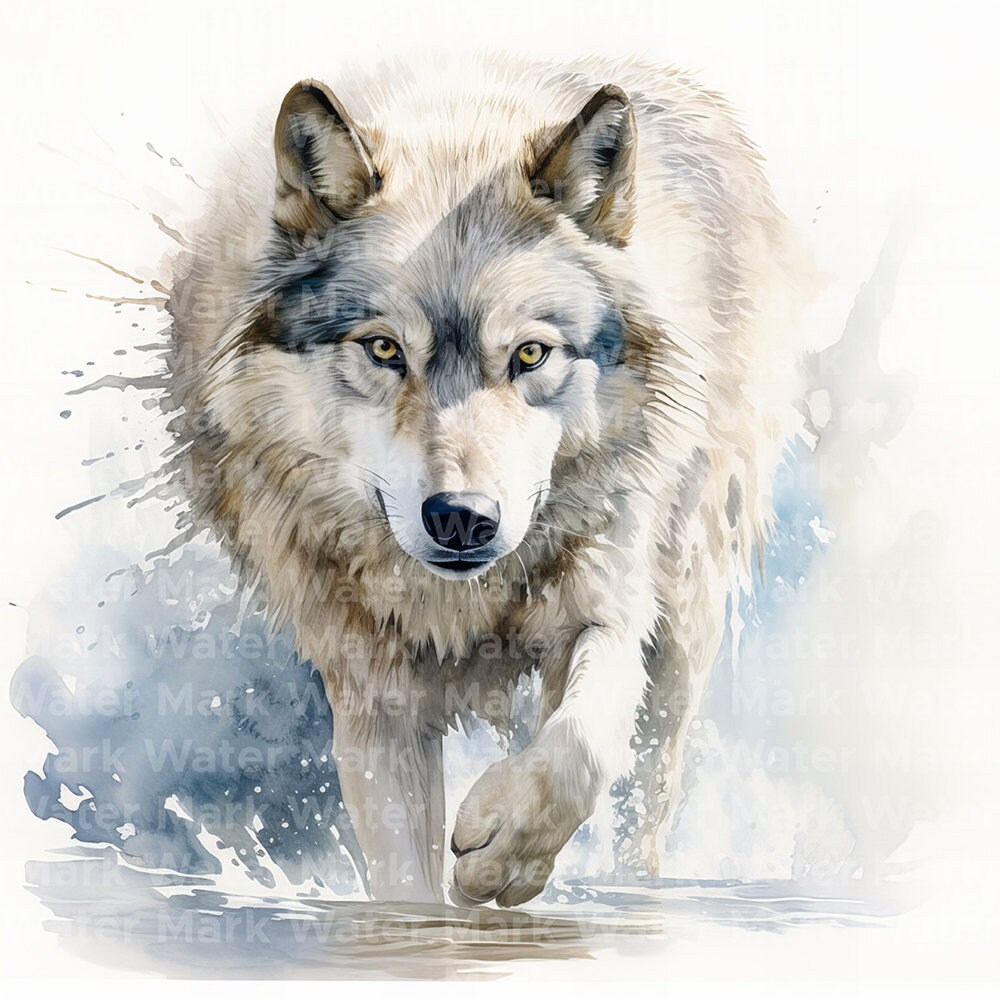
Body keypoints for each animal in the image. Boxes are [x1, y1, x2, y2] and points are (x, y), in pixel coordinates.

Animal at [164, 54, 810, 906]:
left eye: (530, 355)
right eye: (383, 349)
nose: (462, 518)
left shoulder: (606, 603)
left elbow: (581, 744)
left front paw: (504, 850)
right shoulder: (373, 692)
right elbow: (402, 880)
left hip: (685, 607)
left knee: (646, 792)